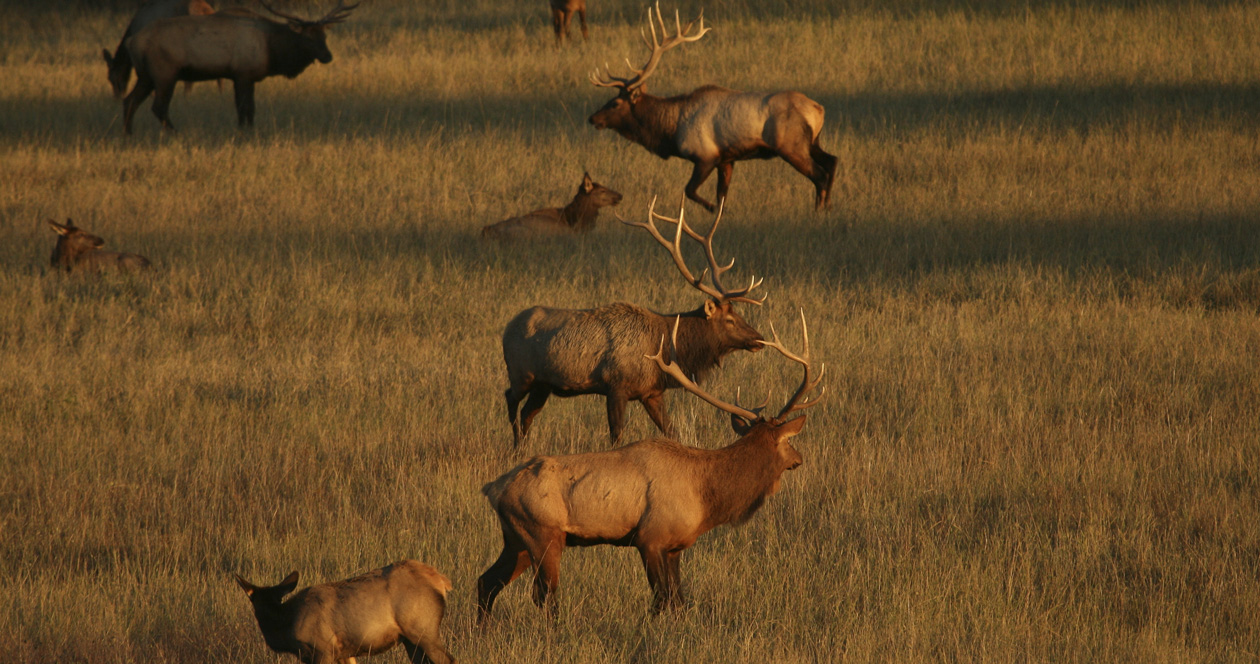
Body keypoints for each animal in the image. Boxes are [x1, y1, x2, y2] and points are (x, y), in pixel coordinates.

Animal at [122, 1, 358, 134]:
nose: (327, 56)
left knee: (129, 100)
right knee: (158, 107)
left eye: (324, 36)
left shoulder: (242, 76)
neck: (272, 49)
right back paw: (175, 133)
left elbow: (245, 109)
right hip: (165, 73)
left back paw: (128, 134)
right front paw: (246, 132)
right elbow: (246, 107)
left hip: (146, 76)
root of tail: (132, 41)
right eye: (308, 38)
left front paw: (245, 130)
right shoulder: (243, 74)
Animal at [235, 560, 455, 664]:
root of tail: (441, 581)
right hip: (410, 639)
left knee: (448, 659)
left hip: (423, 628)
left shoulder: (322, 648)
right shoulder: (344, 651)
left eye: (252, 600)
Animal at [477, 310, 824, 621]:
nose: (799, 459)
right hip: (543, 534)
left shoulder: (675, 547)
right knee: (543, 596)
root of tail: (493, 488)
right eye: (788, 441)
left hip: (516, 539)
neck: (706, 496)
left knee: (486, 582)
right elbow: (662, 601)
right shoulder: (650, 538)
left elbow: (679, 602)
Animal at [500, 196, 764, 446]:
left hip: (543, 385)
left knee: (527, 413)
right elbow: (617, 435)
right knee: (510, 398)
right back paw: (514, 448)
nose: (759, 338)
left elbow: (672, 432)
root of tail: (507, 328)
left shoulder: (652, 392)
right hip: (521, 374)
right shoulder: (616, 386)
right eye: (730, 320)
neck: (664, 348)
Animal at [588, 4, 839, 212]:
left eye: (615, 103)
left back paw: (819, 210)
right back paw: (827, 206)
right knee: (832, 161)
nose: (592, 118)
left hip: (791, 146)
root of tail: (818, 110)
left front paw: (713, 210)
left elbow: (690, 191)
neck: (671, 130)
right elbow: (721, 196)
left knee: (819, 174)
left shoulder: (706, 155)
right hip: (812, 142)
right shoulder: (727, 160)